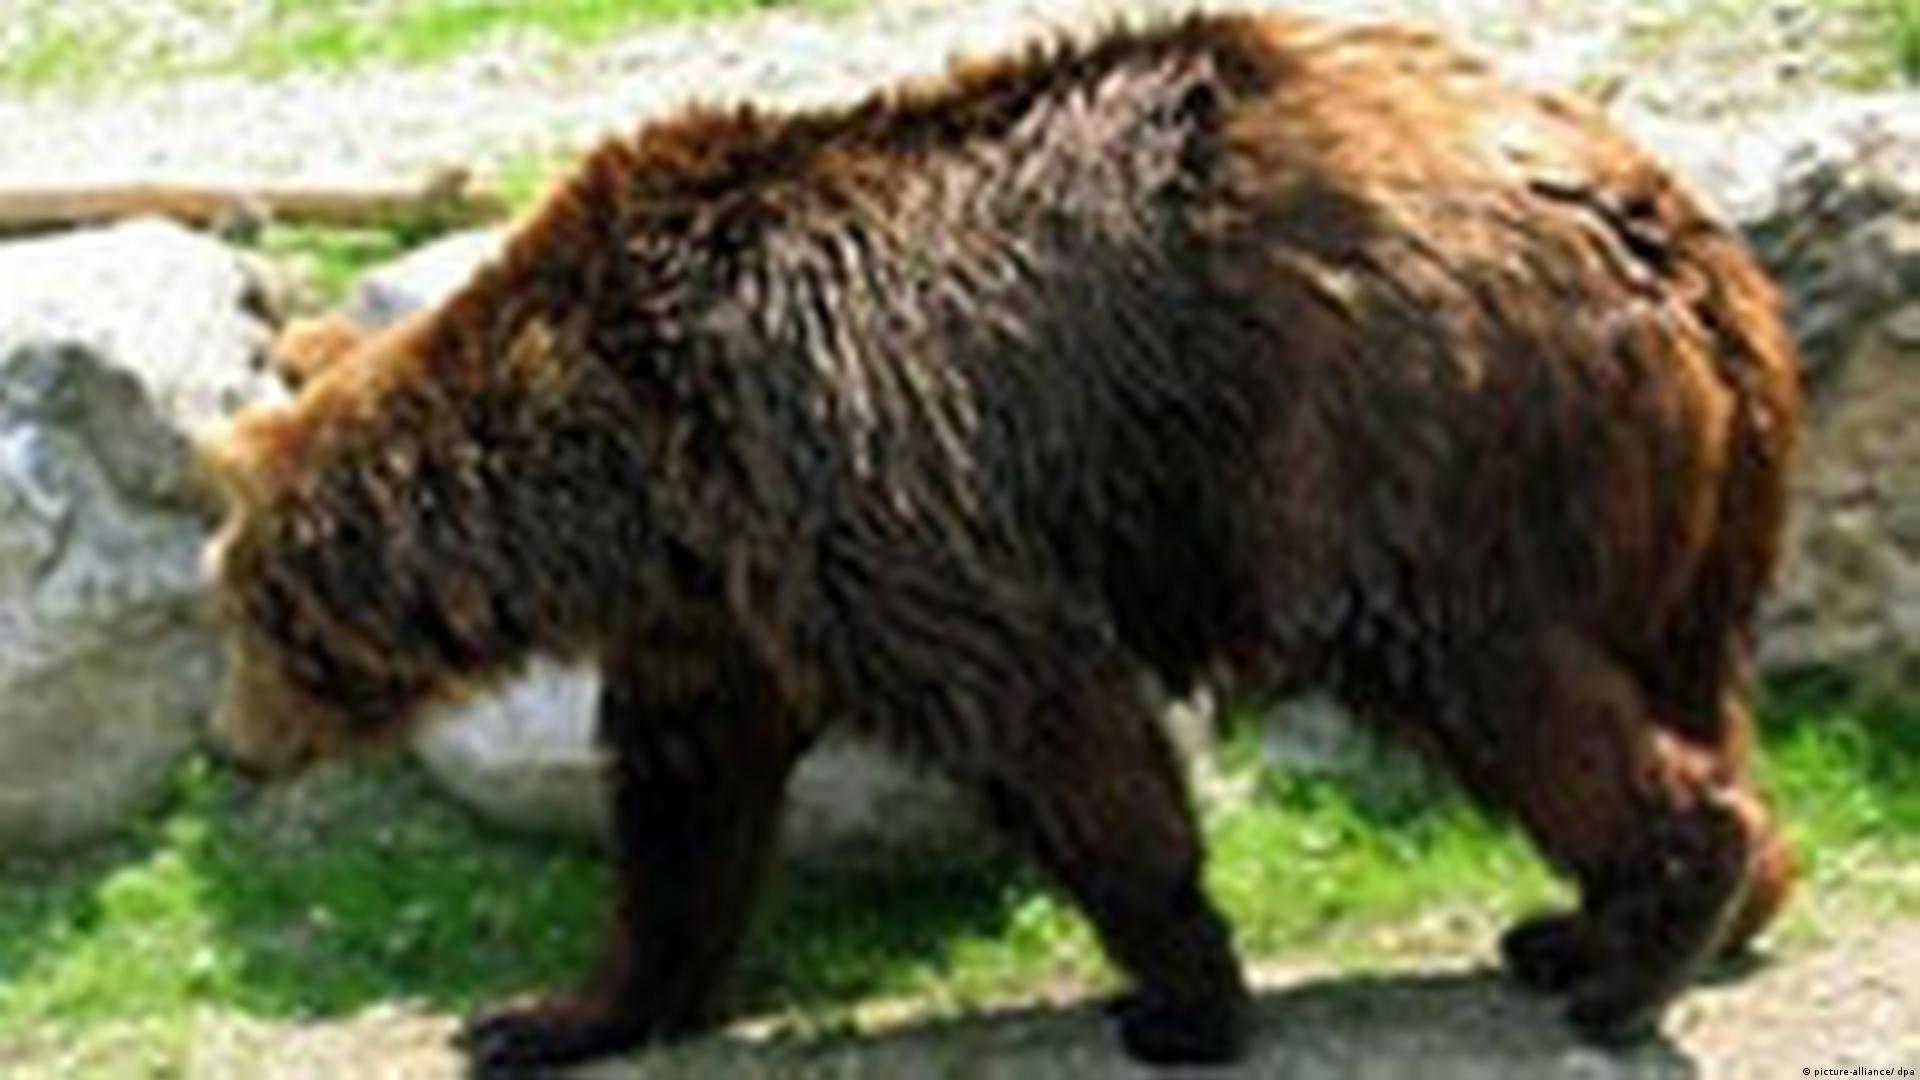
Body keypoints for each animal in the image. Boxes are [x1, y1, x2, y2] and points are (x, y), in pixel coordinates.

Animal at [202, 10, 1801, 1073]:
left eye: (246, 612)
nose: (233, 750)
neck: (632, 482)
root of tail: (1665, 224)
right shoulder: (722, 597)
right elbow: (680, 802)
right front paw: (553, 1014)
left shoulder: (849, 482)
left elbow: (1049, 722)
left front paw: (1177, 995)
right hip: (1661, 502)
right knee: (1666, 682)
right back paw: (1638, 917)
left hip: (1408, 436)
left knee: (1485, 675)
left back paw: (1645, 939)